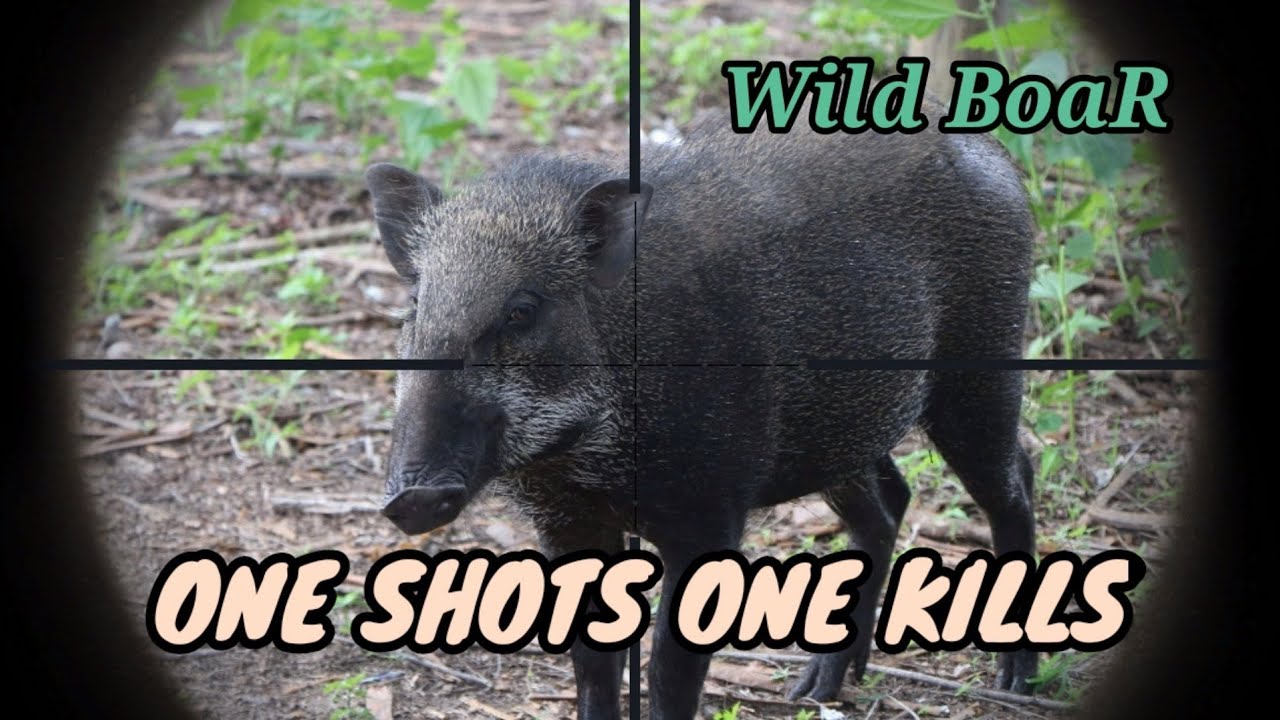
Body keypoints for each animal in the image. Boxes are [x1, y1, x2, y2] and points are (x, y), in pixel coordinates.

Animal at [365, 110, 1038, 719]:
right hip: (842, 434)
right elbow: (592, 665)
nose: (411, 498)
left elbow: (669, 672)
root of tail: (995, 157)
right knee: (889, 502)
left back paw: (1016, 684)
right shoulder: (567, 521)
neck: (582, 457)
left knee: (1014, 486)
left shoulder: (708, 513)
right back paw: (816, 689)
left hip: (981, 370)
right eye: (416, 301)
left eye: (522, 310)